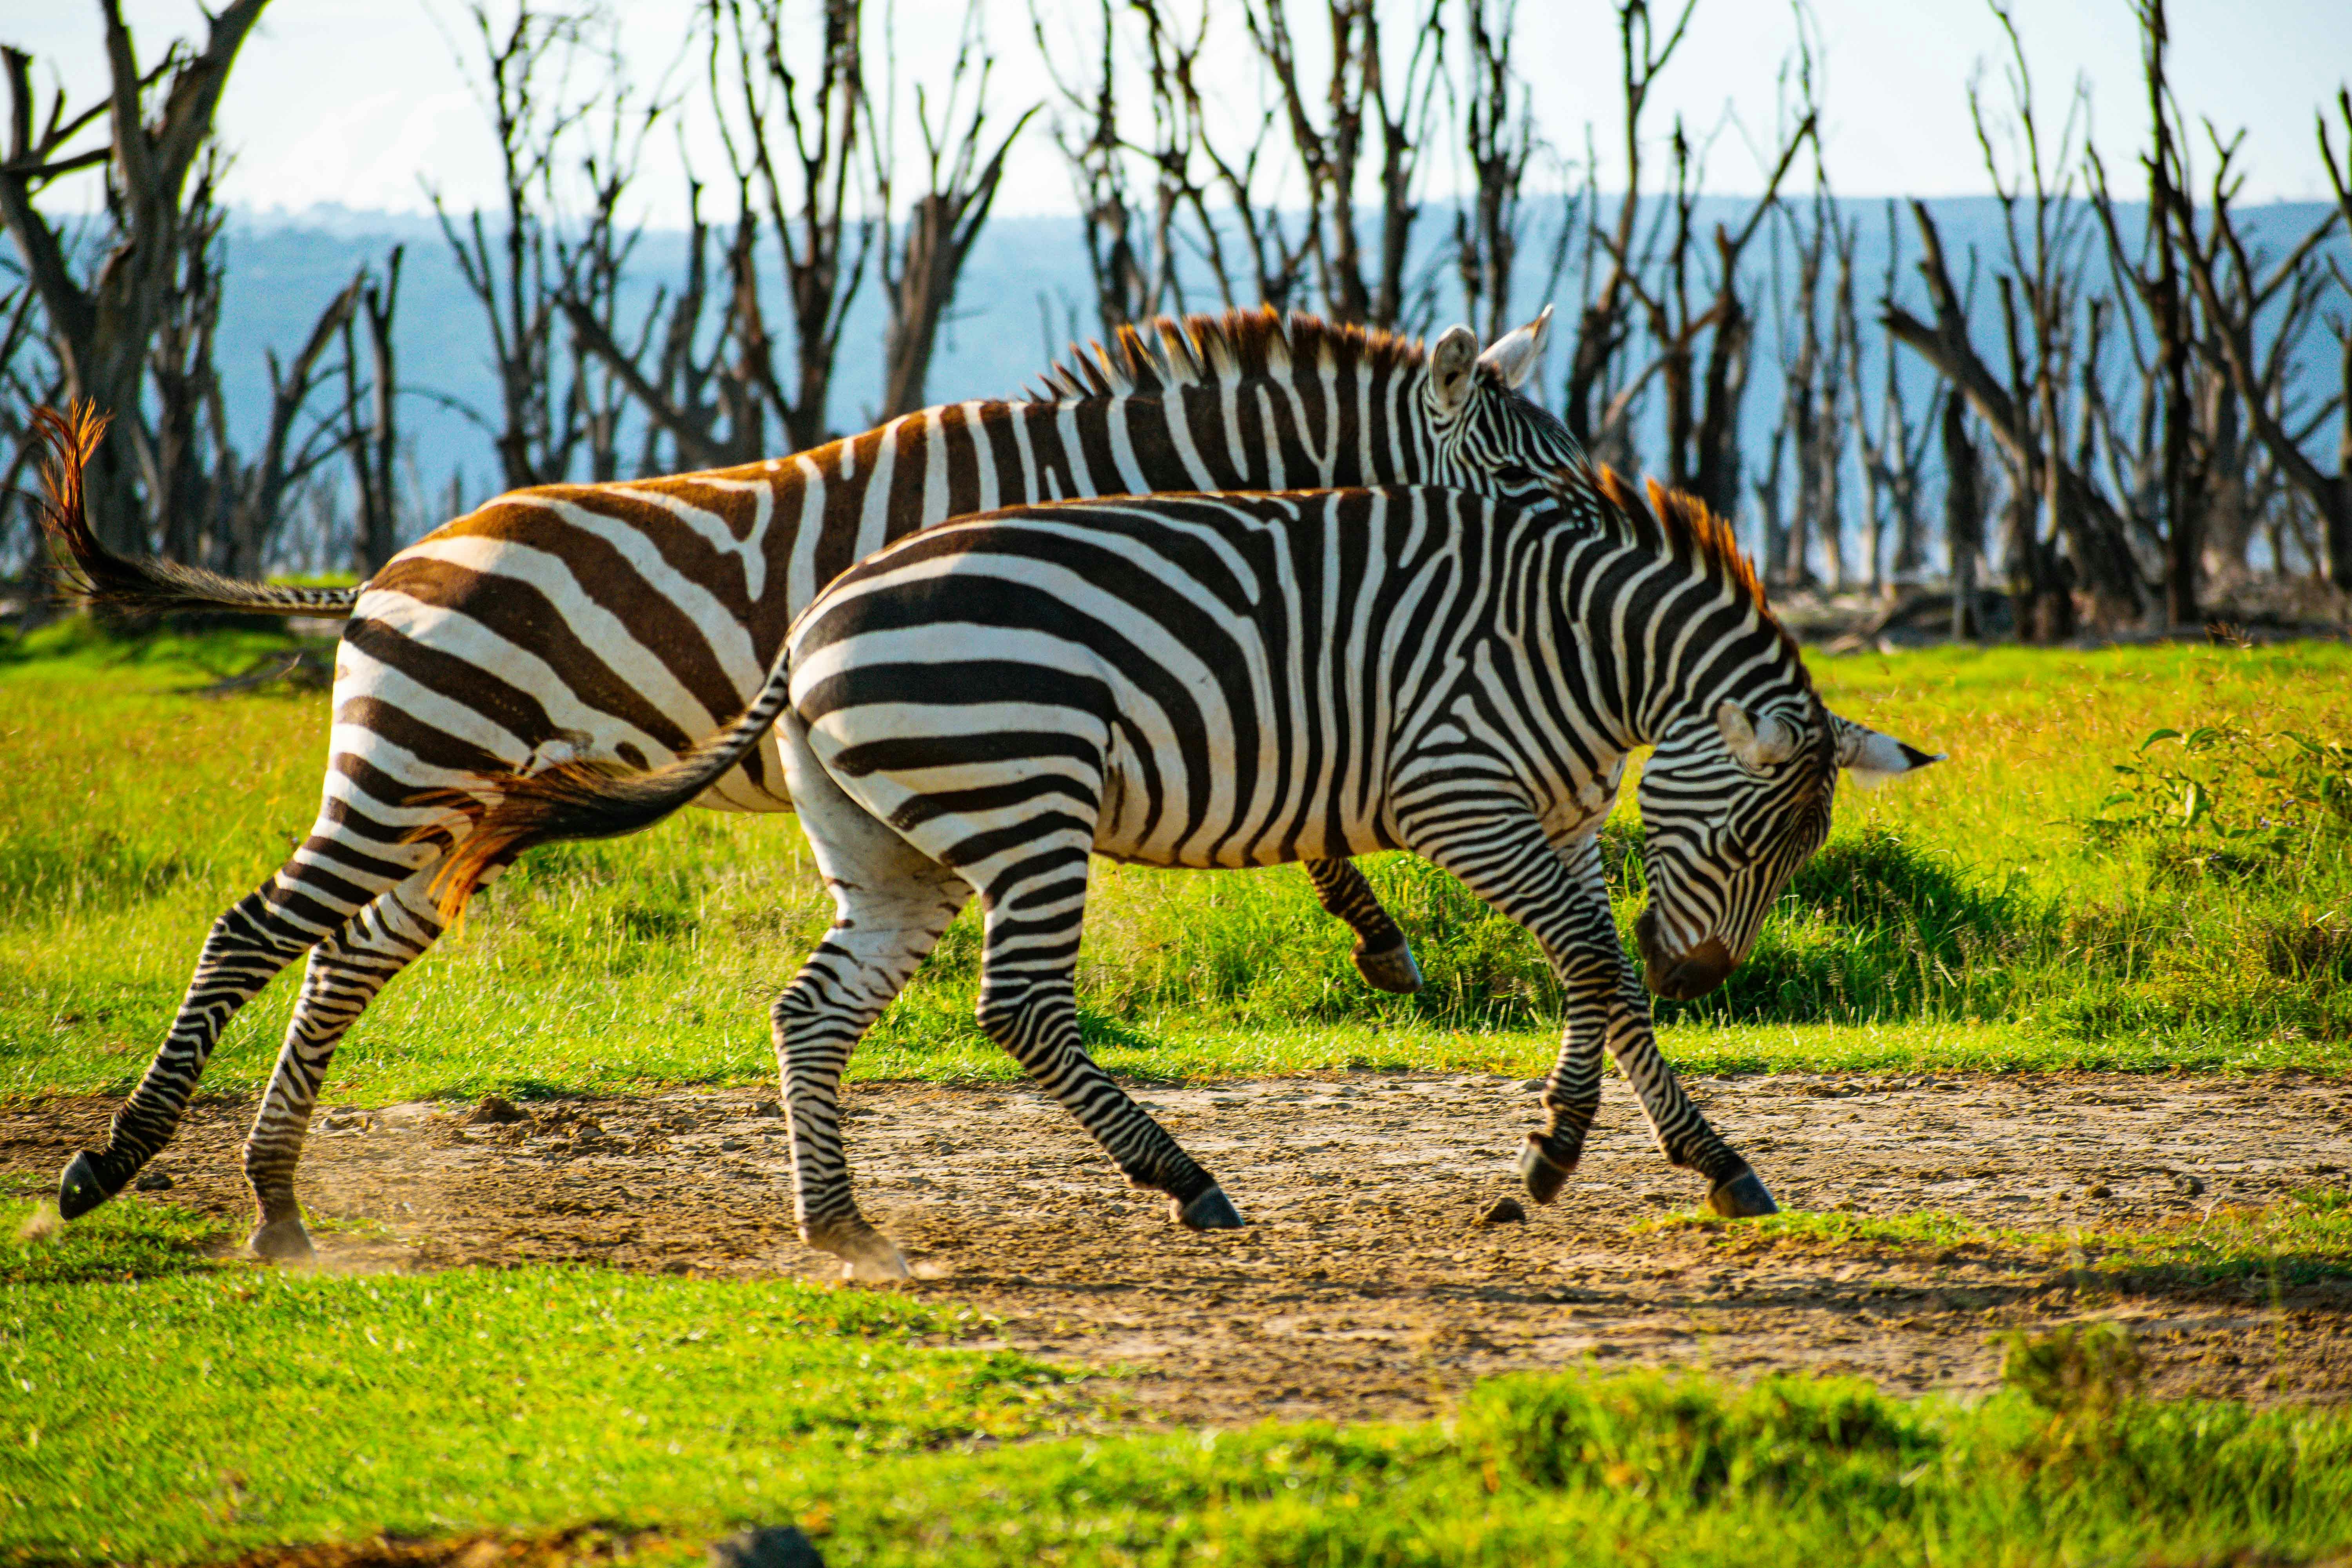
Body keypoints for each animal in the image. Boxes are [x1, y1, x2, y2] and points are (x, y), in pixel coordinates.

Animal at [39, 305, 1585, 1259]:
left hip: (453, 801)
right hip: (411, 766)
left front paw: (1374, 932)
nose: (1604, 560)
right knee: (254, 930)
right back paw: (114, 1163)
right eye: (1533, 486)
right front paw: (1376, 932)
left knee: (345, 954)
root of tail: (381, 572)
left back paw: (277, 1198)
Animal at [418, 470, 1940, 1280]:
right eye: (1746, 843)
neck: (1580, 650)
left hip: (889, 844)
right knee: (1021, 1007)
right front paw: (1692, 1159)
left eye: (1794, 857)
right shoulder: (1455, 795)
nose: (1712, 972)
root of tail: (812, 622)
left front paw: (1555, 1159)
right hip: (1024, 795)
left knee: (814, 1013)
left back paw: (841, 1222)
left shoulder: (1555, 813)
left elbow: (1597, 972)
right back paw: (1186, 1180)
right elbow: (1591, 963)